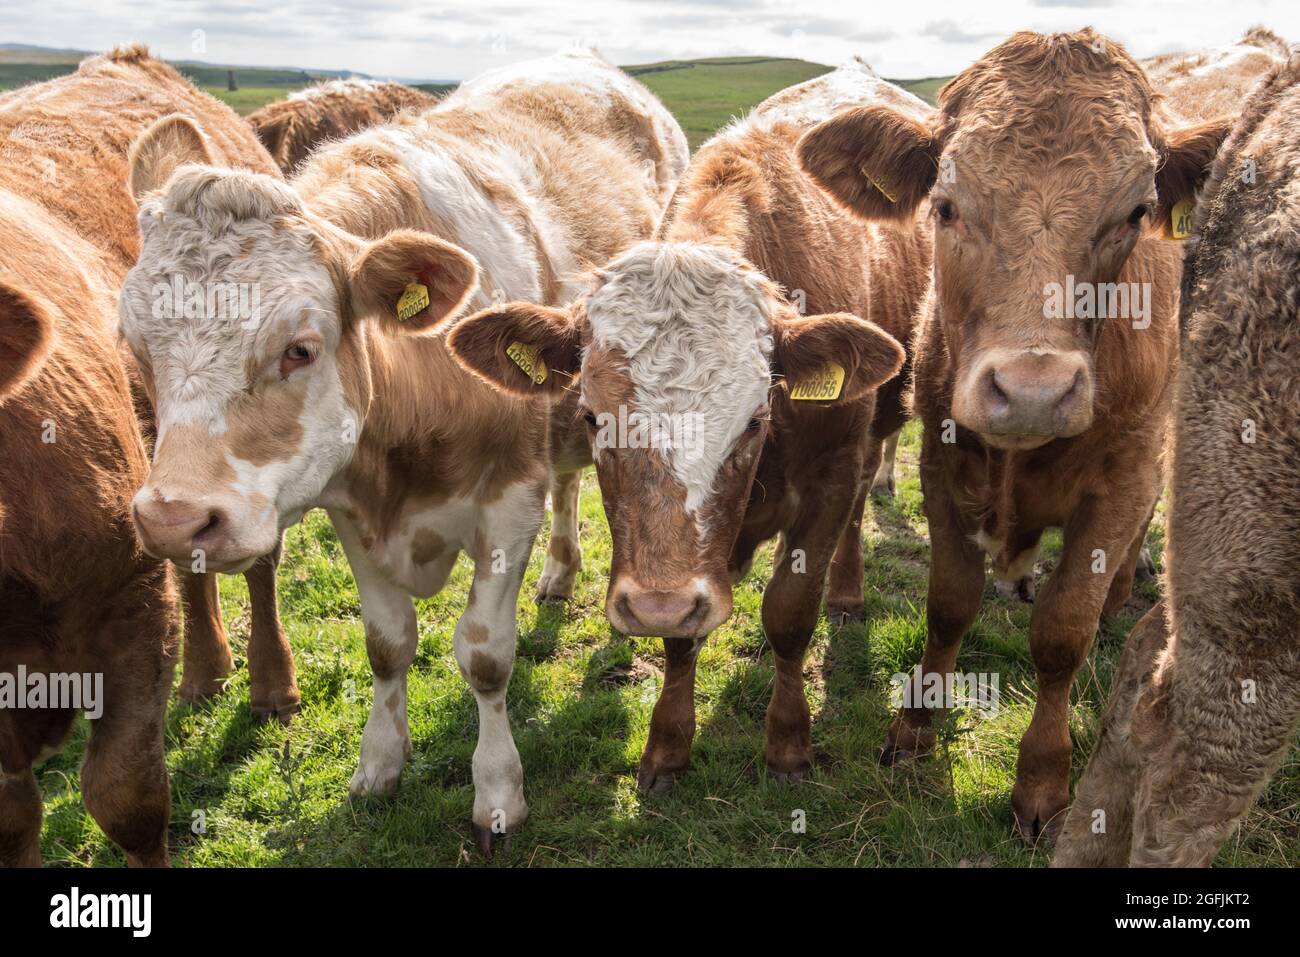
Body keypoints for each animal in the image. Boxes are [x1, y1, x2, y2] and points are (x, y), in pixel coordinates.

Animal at [0, 45, 280, 866]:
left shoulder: (124, 600)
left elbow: (126, 793)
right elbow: (13, 818)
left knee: (257, 562)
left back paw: (269, 687)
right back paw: (207, 674)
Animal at [444, 58, 928, 791]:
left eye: (756, 418)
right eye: (592, 416)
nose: (658, 603)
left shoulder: (829, 481)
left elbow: (790, 612)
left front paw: (789, 742)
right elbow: (679, 644)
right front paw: (667, 745)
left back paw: (847, 592)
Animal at [796, 28, 1271, 842]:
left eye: (1137, 211)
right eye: (945, 206)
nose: (1031, 391)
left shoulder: (1122, 476)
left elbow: (1062, 632)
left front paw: (1042, 781)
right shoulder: (944, 460)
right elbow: (949, 601)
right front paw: (914, 727)